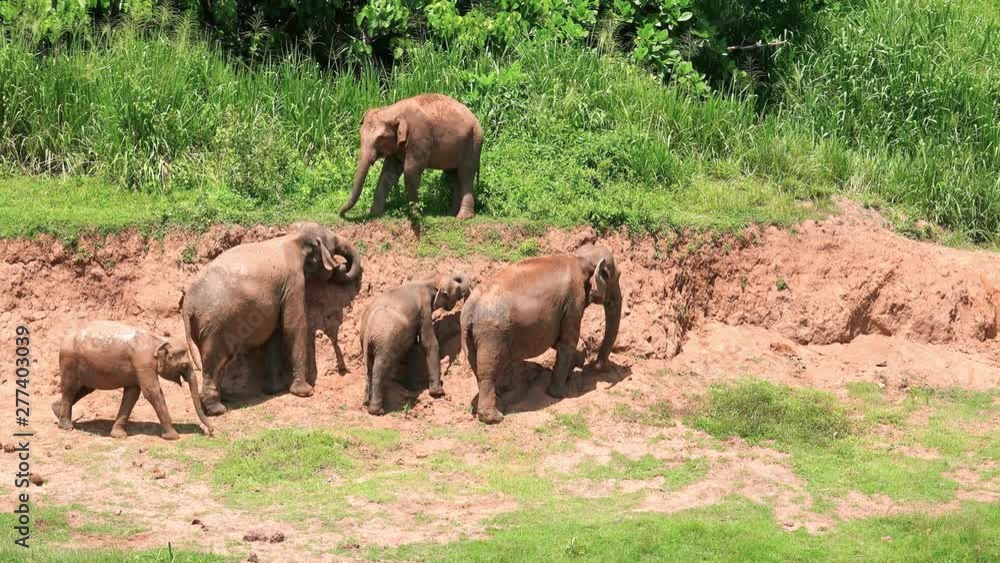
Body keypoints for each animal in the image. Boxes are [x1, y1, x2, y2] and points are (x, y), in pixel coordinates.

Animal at [51, 321, 214, 440]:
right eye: (184, 365)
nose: (211, 431)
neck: (158, 340)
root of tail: (65, 338)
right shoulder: (143, 363)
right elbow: (152, 392)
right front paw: (173, 437)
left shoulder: (138, 369)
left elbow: (132, 394)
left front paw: (118, 435)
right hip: (69, 362)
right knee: (70, 389)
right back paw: (66, 426)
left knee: (84, 389)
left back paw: (56, 410)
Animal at [182, 222, 361, 416]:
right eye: (334, 244)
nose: (342, 266)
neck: (293, 237)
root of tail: (187, 306)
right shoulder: (294, 281)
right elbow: (293, 327)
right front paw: (305, 392)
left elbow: (273, 333)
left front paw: (274, 389)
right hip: (214, 324)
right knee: (217, 360)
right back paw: (218, 409)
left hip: (202, 326)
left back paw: (224, 400)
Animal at [339, 93, 483, 219]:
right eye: (360, 135)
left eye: (380, 138)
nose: (341, 214)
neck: (392, 110)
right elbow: (387, 174)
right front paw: (374, 214)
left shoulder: (419, 138)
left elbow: (410, 170)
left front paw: (415, 214)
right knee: (453, 175)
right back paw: (451, 214)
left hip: (473, 144)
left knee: (465, 174)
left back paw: (463, 217)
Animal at [360, 273, 473, 415]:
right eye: (457, 290)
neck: (428, 281)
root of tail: (367, 327)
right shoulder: (424, 309)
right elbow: (428, 342)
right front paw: (438, 393)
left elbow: (413, 347)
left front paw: (413, 388)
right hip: (385, 339)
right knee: (380, 366)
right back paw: (377, 411)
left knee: (369, 365)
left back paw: (366, 402)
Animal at [460, 245, 622, 424]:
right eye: (617, 276)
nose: (597, 365)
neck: (579, 258)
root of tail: (470, 306)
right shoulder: (574, 299)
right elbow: (567, 341)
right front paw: (561, 393)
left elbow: (558, 341)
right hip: (492, 335)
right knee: (488, 370)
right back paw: (494, 417)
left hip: (468, 334)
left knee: (476, 366)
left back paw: (500, 400)